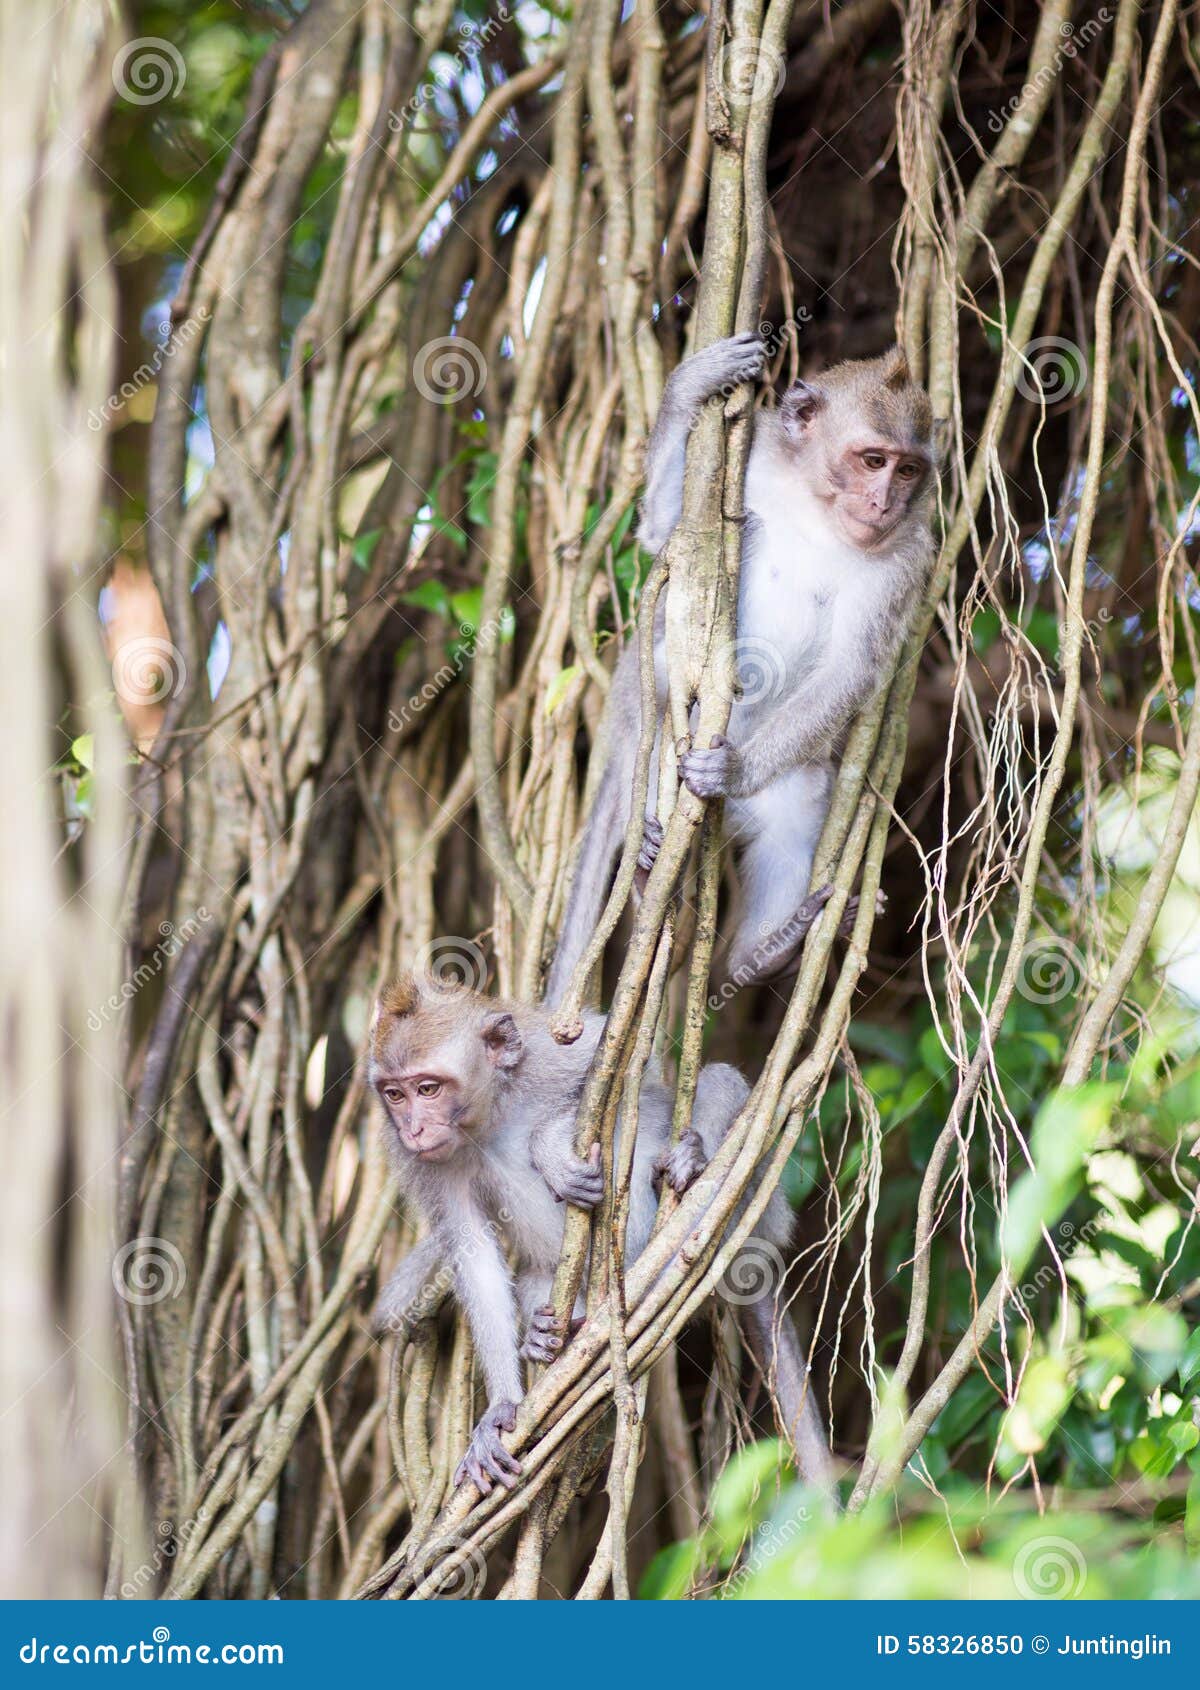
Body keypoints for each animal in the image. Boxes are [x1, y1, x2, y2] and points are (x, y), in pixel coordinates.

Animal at [367, 972, 832, 1497]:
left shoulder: (556, 1054)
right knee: (537, 1280)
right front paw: (500, 1410)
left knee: (718, 1084)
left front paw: (548, 1146)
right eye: (394, 1094)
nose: (414, 1130)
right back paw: (553, 1335)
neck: (489, 1116)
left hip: (764, 1210)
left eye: (427, 1088)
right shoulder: (429, 1166)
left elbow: (635, 1064)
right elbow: (475, 1254)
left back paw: (689, 1186)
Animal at [545, 335, 936, 1003]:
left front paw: (733, 770)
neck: (815, 506)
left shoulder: (908, 556)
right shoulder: (750, 462)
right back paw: (648, 870)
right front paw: (687, 387)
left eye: (908, 470)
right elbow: (666, 536)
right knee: (662, 687)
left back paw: (768, 953)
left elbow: (852, 668)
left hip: (776, 790)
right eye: (873, 460)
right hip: (640, 740)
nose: (885, 503)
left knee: (797, 806)